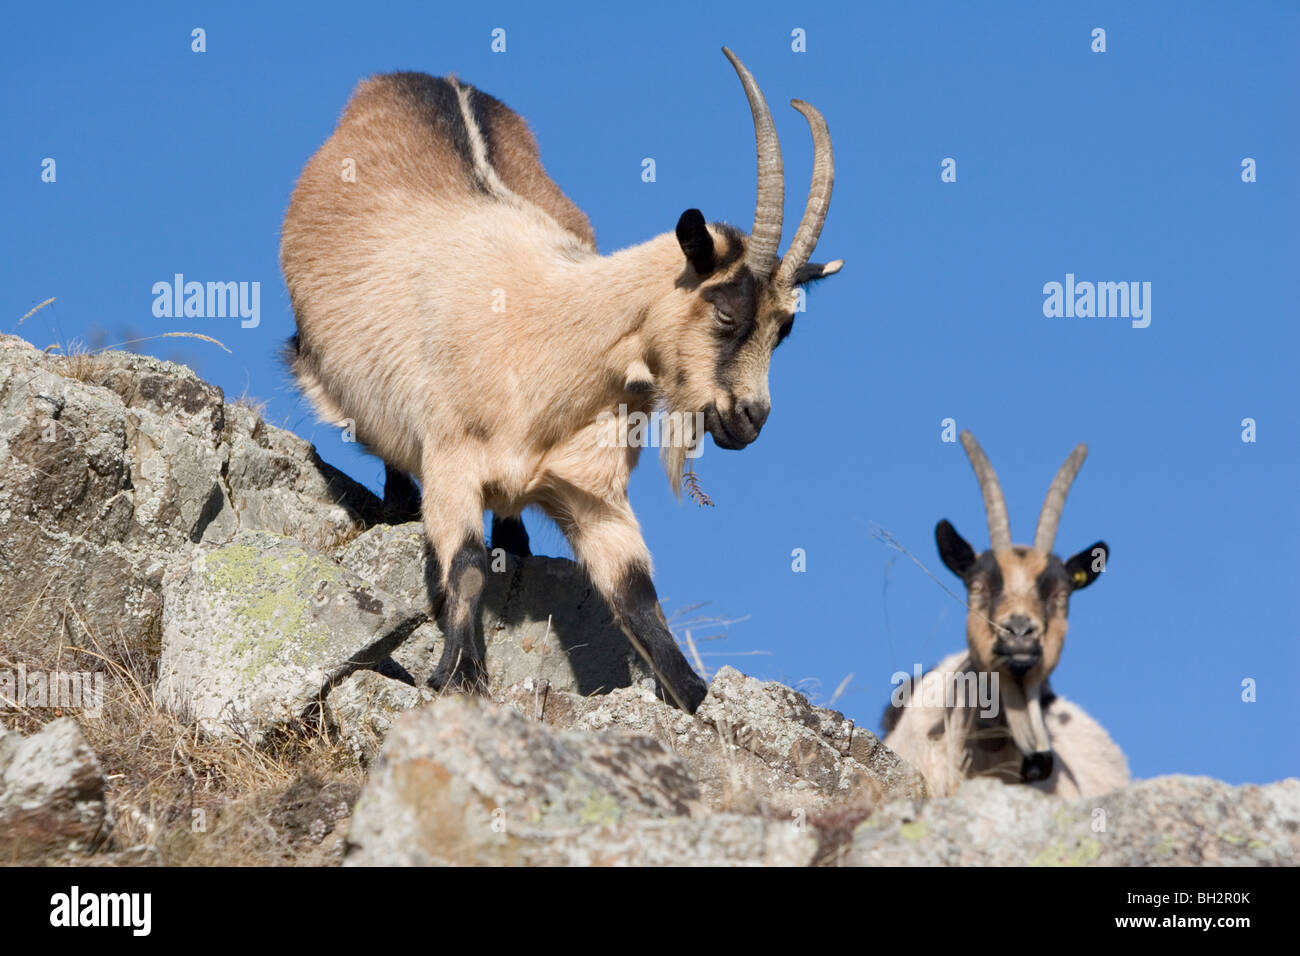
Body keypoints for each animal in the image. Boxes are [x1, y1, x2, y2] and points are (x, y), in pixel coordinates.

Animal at [280, 49, 841, 713]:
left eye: (785, 329)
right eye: (727, 312)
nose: (750, 419)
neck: (547, 339)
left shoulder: (592, 493)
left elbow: (635, 594)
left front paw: (696, 697)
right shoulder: (450, 458)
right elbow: (466, 562)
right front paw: (457, 675)